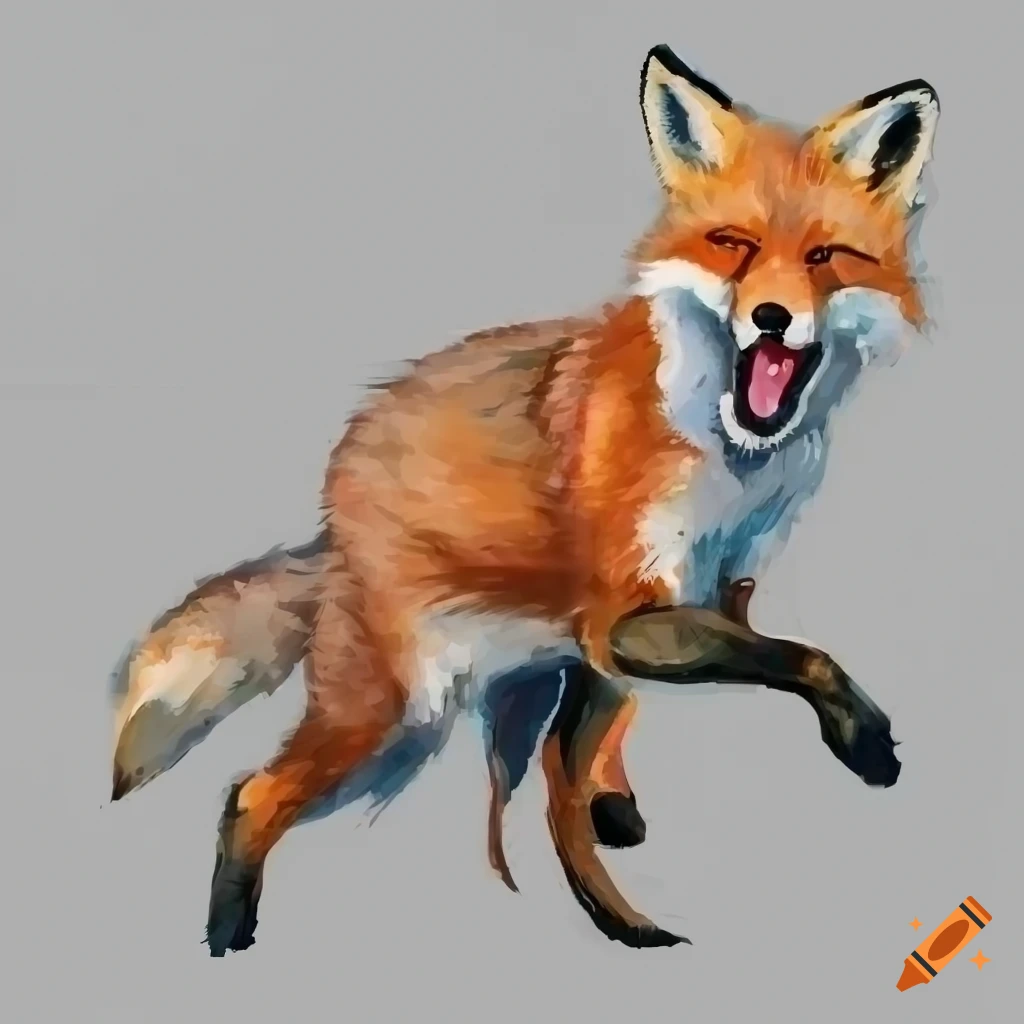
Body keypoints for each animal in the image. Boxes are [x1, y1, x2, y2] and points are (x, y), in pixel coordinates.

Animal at [110, 44, 939, 956]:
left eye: (827, 257)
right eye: (734, 245)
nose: (771, 317)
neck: (728, 455)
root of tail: (334, 514)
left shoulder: (700, 597)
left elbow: (604, 755)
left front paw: (623, 903)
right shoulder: (622, 613)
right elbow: (802, 657)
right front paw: (866, 741)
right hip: (396, 716)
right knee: (251, 796)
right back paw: (227, 937)